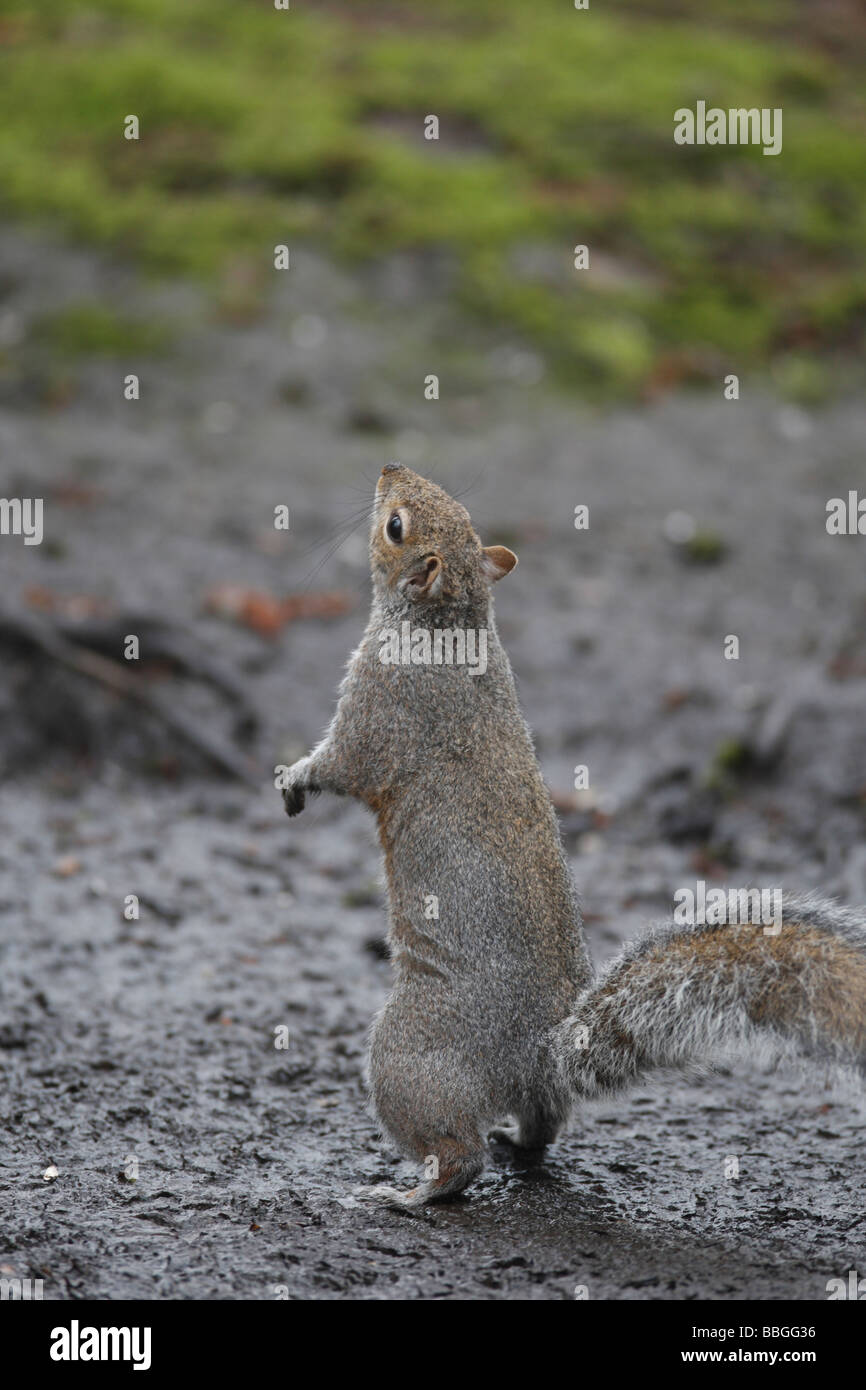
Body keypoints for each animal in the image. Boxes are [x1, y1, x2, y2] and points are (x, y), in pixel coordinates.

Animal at [281, 463, 866, 1209]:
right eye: (455, 509)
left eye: (396, 526)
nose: (389, 470)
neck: (452, 621)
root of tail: (540, 1053)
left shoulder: (383, 708)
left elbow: (344, 763)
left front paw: (294, 776)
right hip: (516, 1091)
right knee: (545, 1120)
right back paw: (518, 1143)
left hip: (407, 1056)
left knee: (457, 1153)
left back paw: (415, 1192)